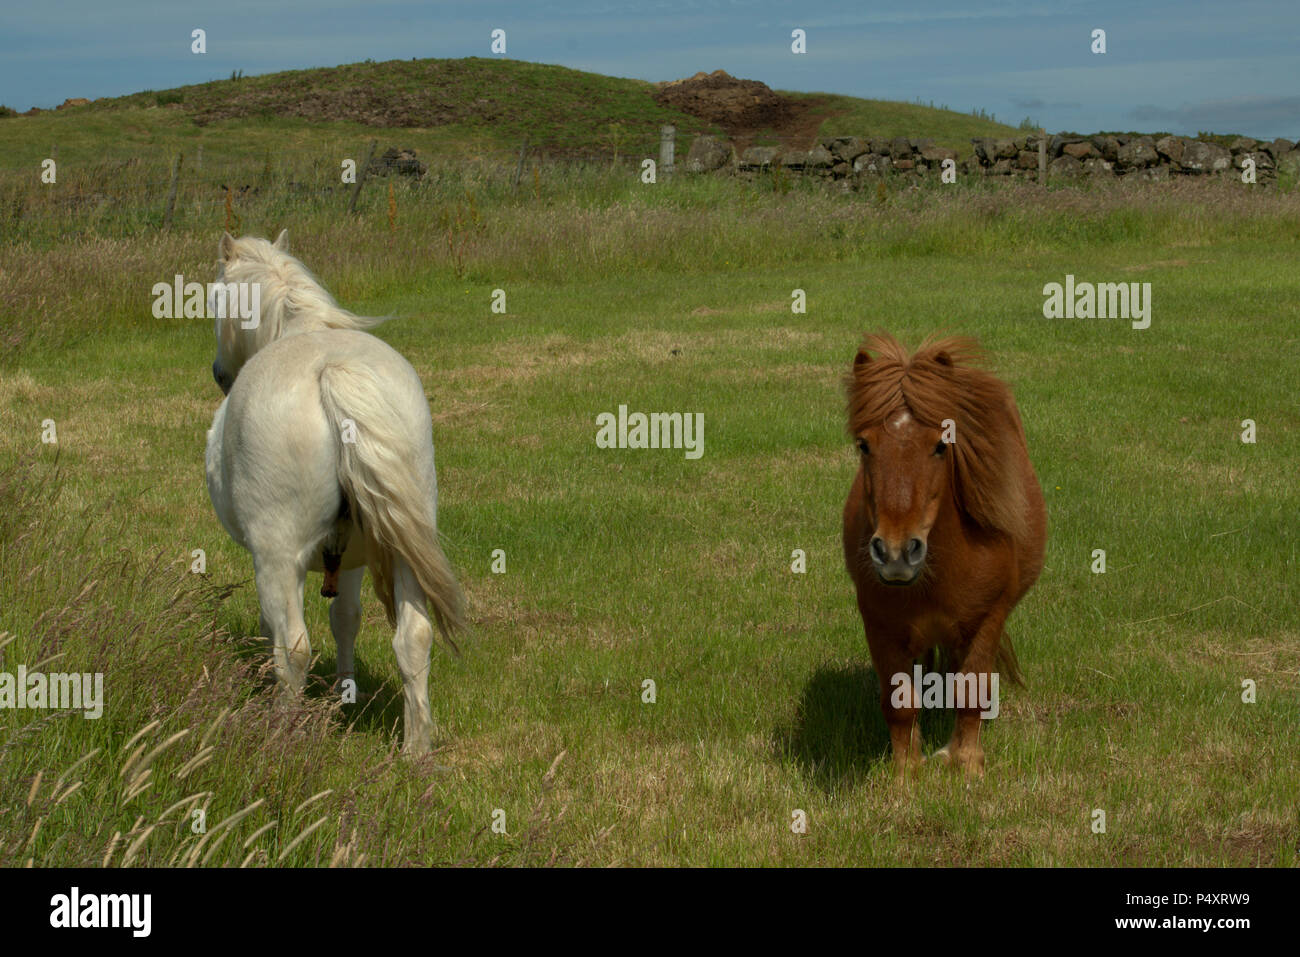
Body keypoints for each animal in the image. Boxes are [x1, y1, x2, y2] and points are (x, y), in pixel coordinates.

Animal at [204, 229, 465, 755]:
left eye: (215, 299)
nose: (220, 374)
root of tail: (331, 372)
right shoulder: (350, 559)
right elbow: (346, 617)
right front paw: (346, 694)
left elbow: (275, 630)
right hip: (403, 549)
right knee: (414, 637)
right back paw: (416, 751)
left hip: (277, 557)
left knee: (293, 648)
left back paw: (281, 734)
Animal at [842, 334, 1047, 776]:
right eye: (864, 445)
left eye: (940, 445)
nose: (896, 553)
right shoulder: (880, 625)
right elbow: (899, 703)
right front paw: (906, 774)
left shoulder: (986, 620)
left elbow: (971, 692)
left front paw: (967, 765)